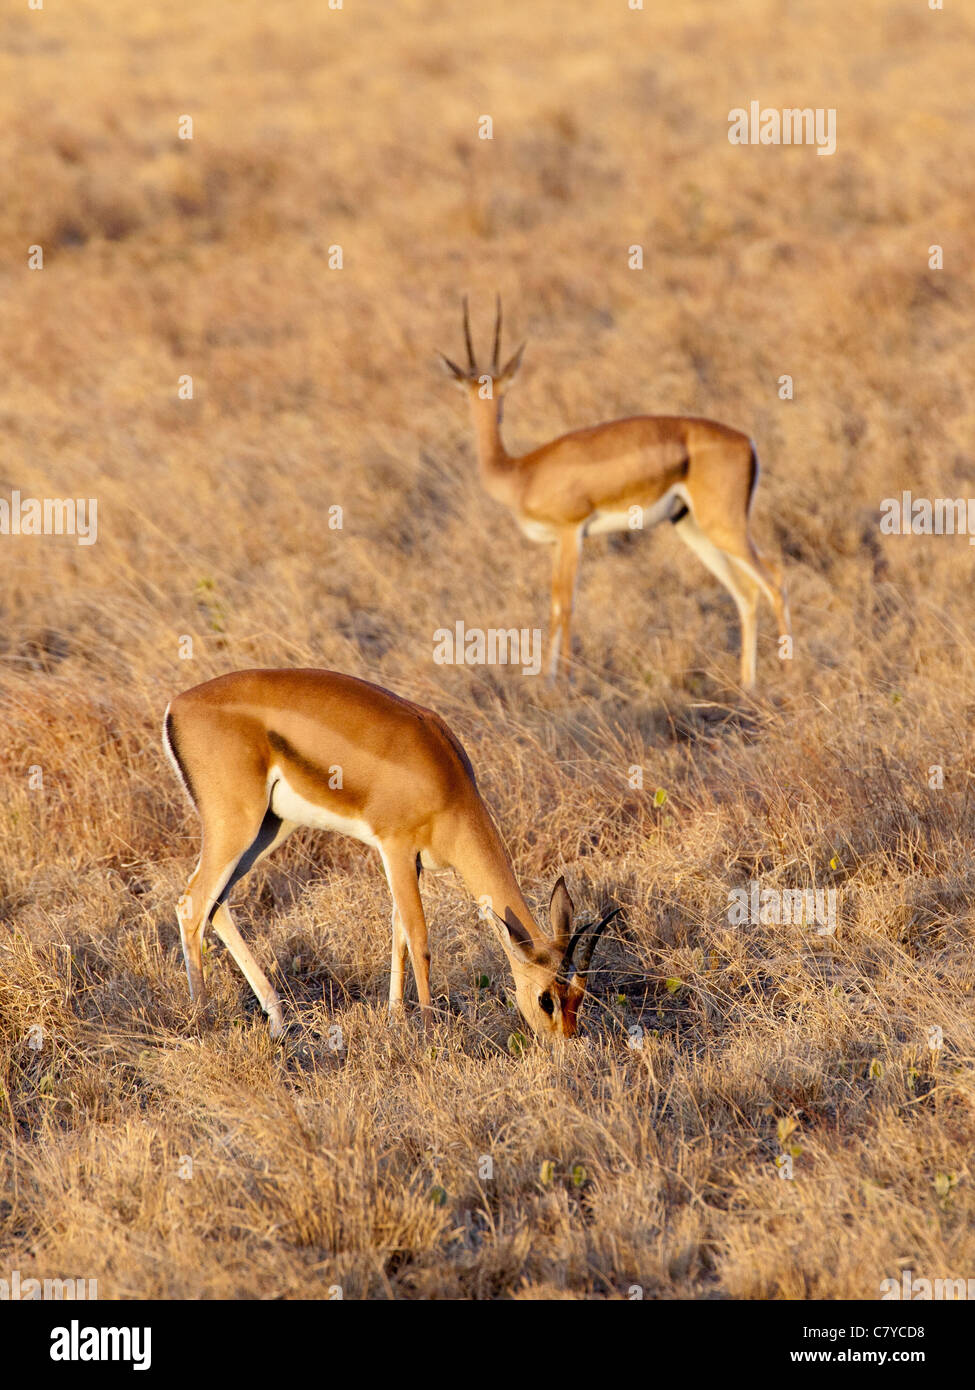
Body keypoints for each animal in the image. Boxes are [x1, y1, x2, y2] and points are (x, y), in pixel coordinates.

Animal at [162, 668, 617, 1043]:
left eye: (580, 994)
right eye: (546, 998)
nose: (567, 1041)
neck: (446, 782)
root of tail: (177, 705)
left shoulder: (411, 863)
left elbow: (397, 930)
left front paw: (396, 1020)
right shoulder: (396, 847)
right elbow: (419, 937)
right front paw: (429, 1030)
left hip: (269, 828)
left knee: (216, 906)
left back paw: (277, 1019)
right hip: (236, 826)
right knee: (191, 904)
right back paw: (205, 1020)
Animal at [440, 298, 791, 689]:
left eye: (500, 391)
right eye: (471, 391)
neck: (519, 472)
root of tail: (747, 442)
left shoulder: (571, 532)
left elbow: (566, 604)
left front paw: (564, 681)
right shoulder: (556, 544)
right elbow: (553, 604)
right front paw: (547, 679)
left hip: (724, 527)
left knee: (775, 580)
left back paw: (791, 676)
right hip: (693, 528)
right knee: (746, 593)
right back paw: (747, 685)